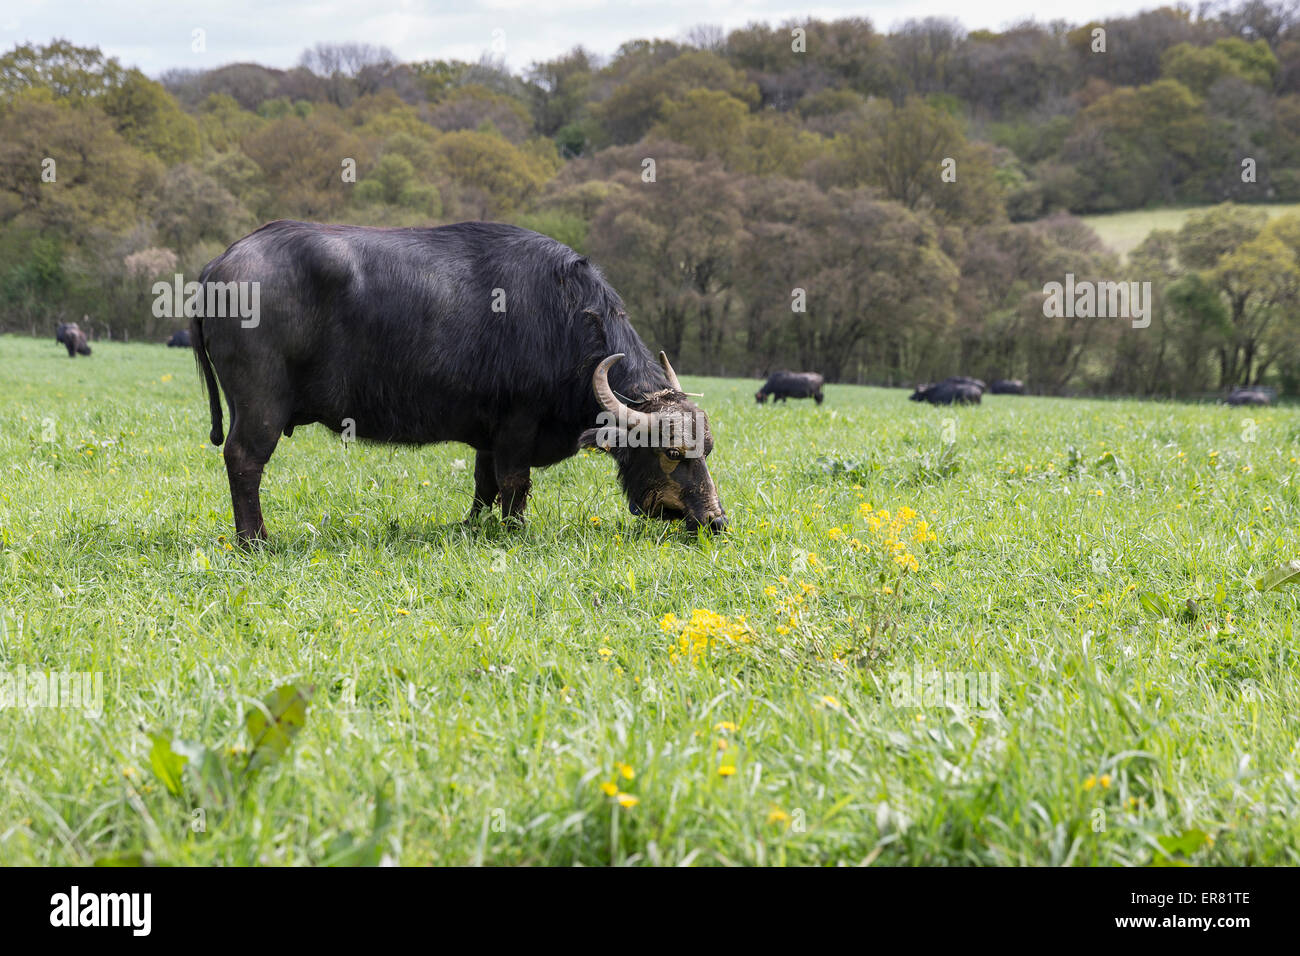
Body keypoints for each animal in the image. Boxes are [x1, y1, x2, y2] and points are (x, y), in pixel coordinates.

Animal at [194, 220, 727, 544]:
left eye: (706, 448)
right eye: (672, 453)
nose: (716, 520)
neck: (564, 317)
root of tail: (220, 264)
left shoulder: (488, 435)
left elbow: (483, 484)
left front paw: (475, 525)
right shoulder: (517, 425)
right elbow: (514, 484)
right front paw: (513, 531)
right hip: (260, 406)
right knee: (243, 461)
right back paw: (255, 540)